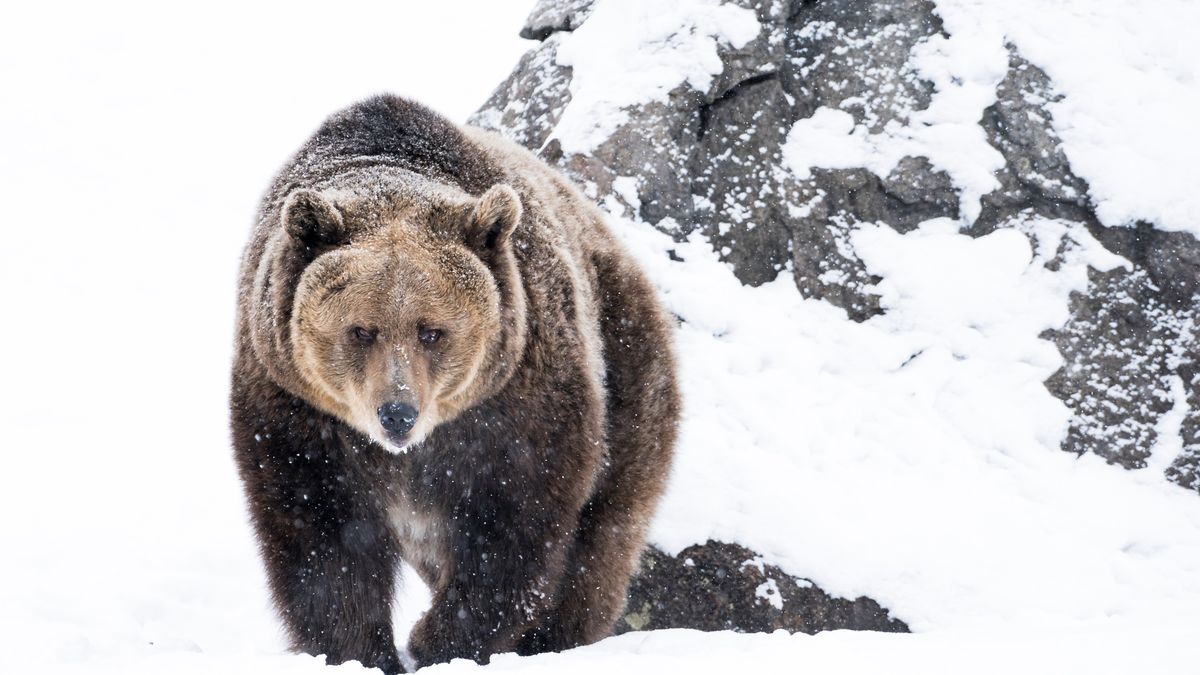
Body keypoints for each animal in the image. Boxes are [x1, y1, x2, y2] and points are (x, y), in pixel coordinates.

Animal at [230, 94, 680, 673]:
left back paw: (558, 637)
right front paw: (360, 650)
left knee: (601, 539)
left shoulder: (515, 403)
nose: (397, 413)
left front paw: (438, 641)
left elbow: (512, 525)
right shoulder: (298, 410)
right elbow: (324, 534)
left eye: (432, 331)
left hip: (627, 372)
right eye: (361, 330)